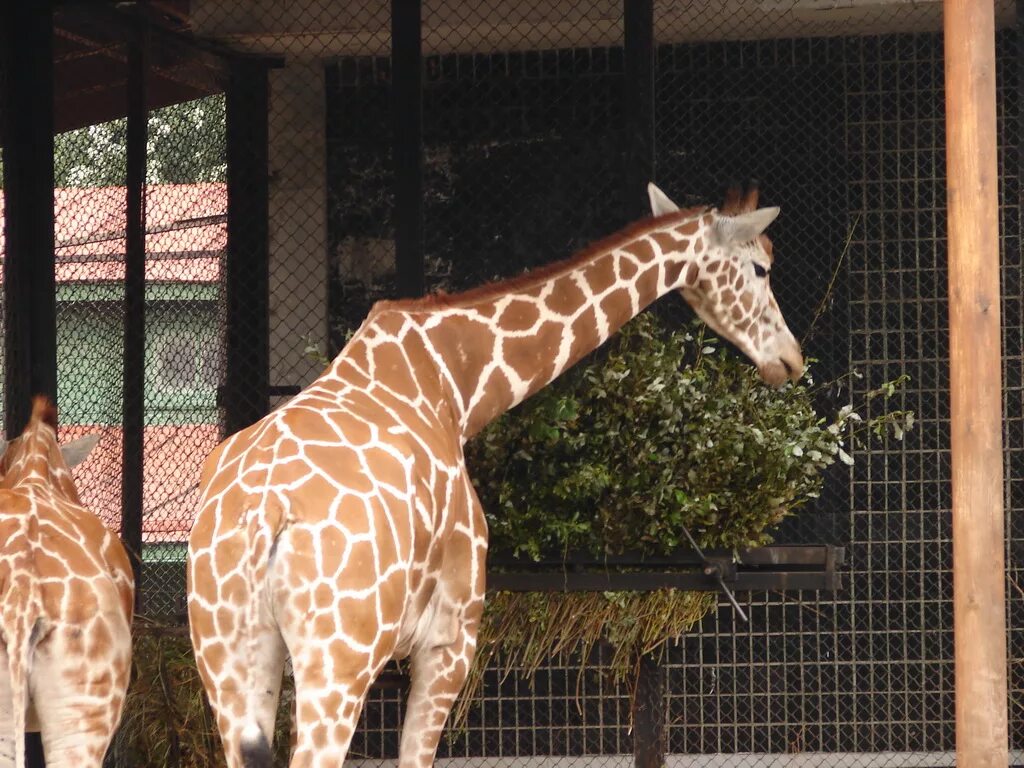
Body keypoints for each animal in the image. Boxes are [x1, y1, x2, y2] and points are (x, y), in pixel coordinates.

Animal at [188, 182, 802, 768]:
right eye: (761, 267)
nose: (791, 361)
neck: (457, 385)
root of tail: (264, 513)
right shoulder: (449, 640)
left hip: (227, 659)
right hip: (341, 658)